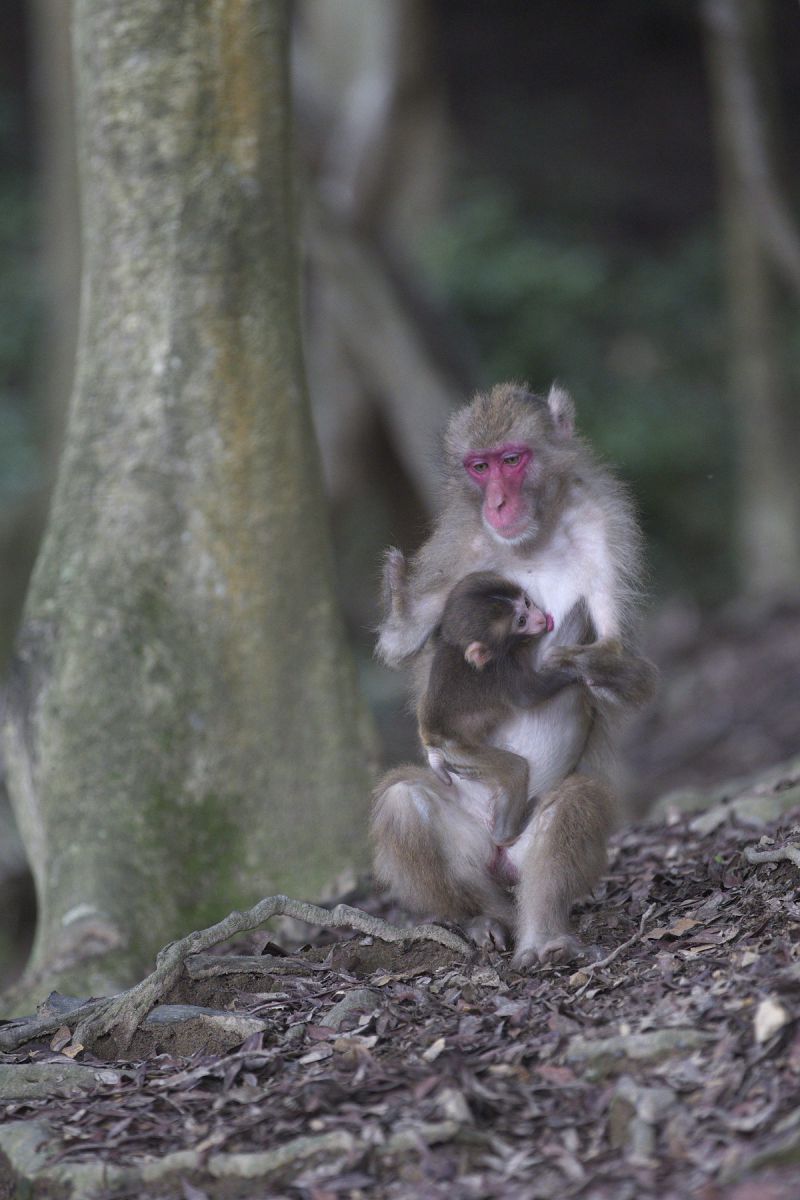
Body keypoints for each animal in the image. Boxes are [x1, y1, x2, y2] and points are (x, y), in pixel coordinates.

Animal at [419, 571, 593, 848]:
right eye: (521, 621)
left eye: (527, 603)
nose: (540, 618)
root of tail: (432, 740)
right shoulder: (501, 671)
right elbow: (528, 695)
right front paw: (573, 672)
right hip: (460, 752)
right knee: (515, 770)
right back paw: (505, 834)